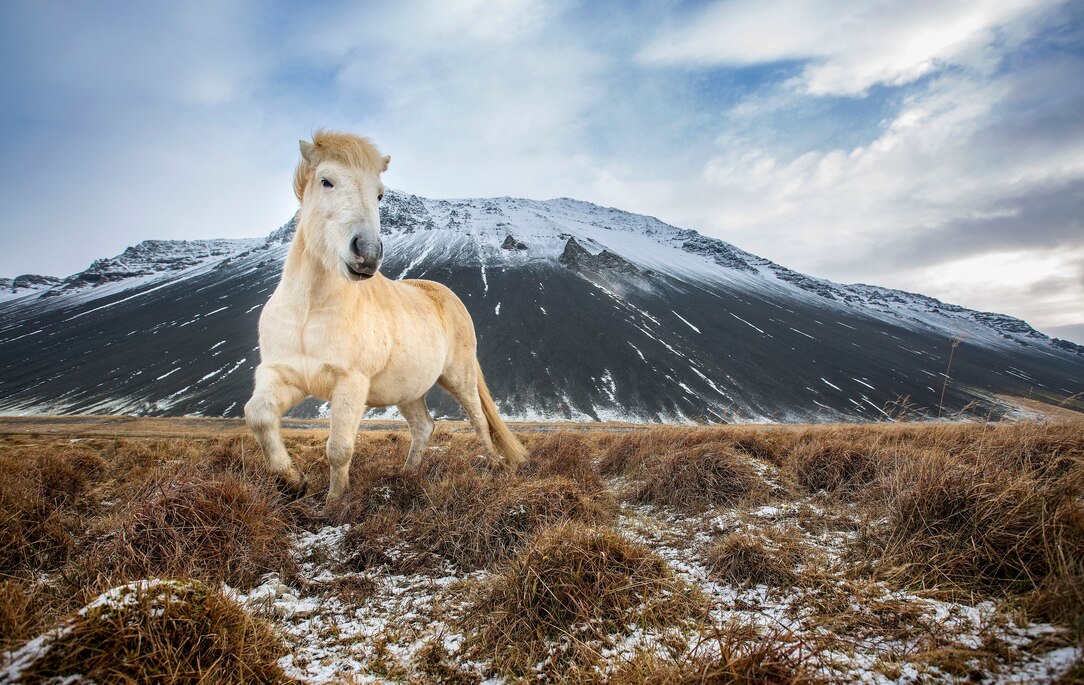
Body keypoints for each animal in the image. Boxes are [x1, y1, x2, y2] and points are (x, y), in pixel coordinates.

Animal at [244, 130, 528, 507]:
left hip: (459, 377)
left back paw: (495, 465)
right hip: (409, 391)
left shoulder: (350, 384)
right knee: (424, 427)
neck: (310, 311)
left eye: (380, 193)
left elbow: (339, 448)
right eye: (326, 181)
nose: (366, 253)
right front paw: (292, 481)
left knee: (479, 420)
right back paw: (406, 476)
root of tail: (446, 295)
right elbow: (258, 416)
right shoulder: (283, 375)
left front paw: (333, 506)